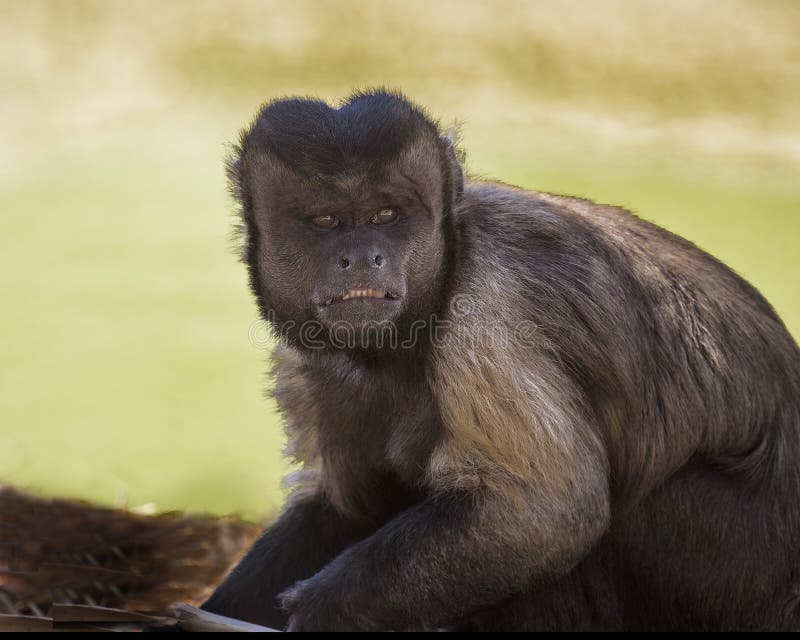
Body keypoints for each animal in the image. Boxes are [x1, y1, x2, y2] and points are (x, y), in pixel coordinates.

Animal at [200, 89, 800, 631]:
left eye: (386, 214)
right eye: (326, 222)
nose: (364, 257)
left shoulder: (489, 304)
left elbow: (543, 514)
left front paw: (320, 614)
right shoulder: (310, 353)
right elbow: (347, 505)